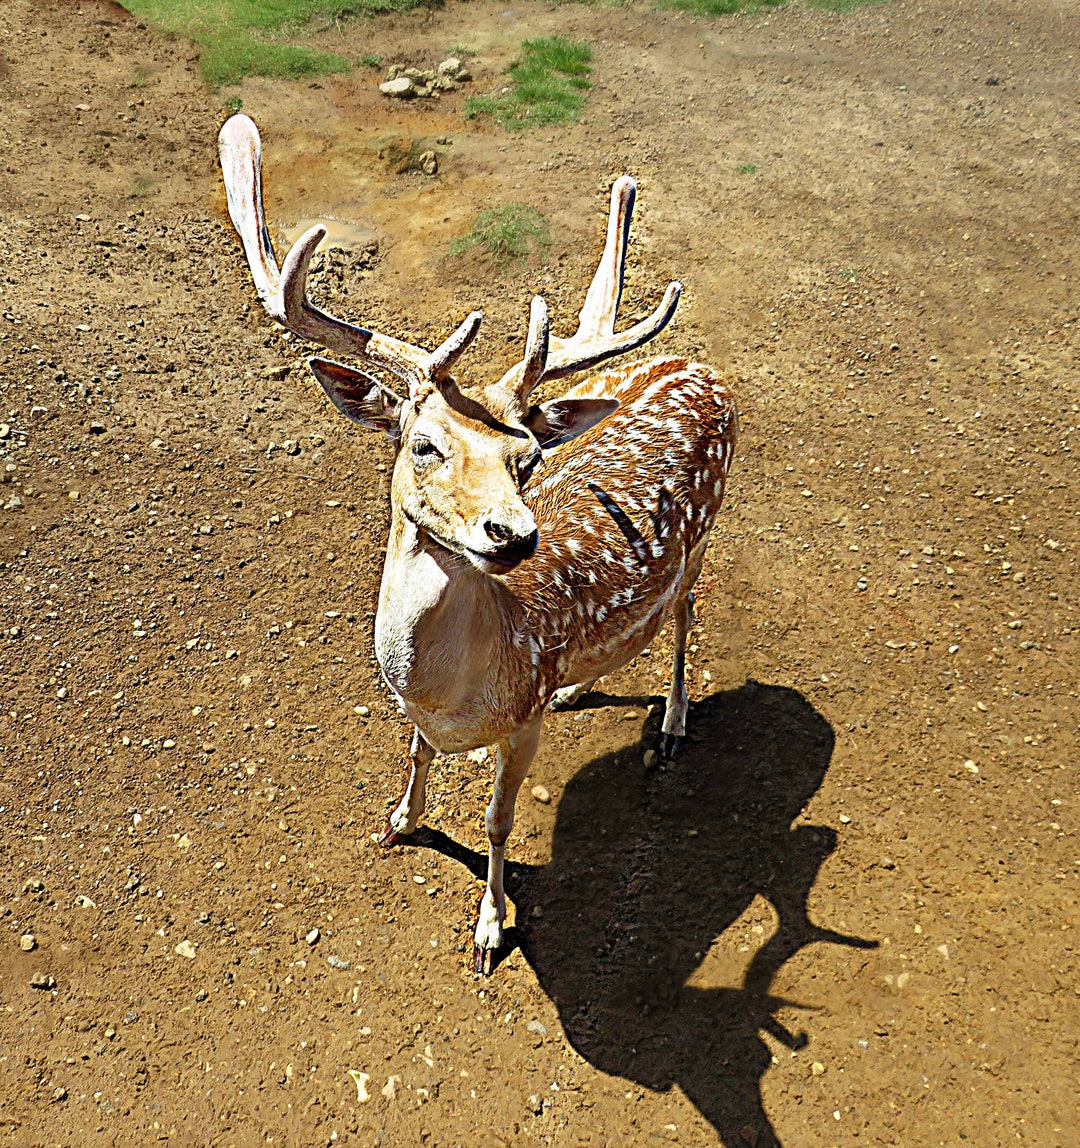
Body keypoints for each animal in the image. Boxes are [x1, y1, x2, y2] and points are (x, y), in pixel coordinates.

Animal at [218, 114, 739, 974]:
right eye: (423, 443)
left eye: (524, 459)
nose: (514, 534)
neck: (455, 691)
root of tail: (704, 367)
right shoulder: (424, 717)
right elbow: (417, 754)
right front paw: (399, 821)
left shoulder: (518, 727)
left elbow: (497, 821)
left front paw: (492, 928)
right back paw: (575, 689)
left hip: (706, 531)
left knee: (687, 613)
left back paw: (671, 724)